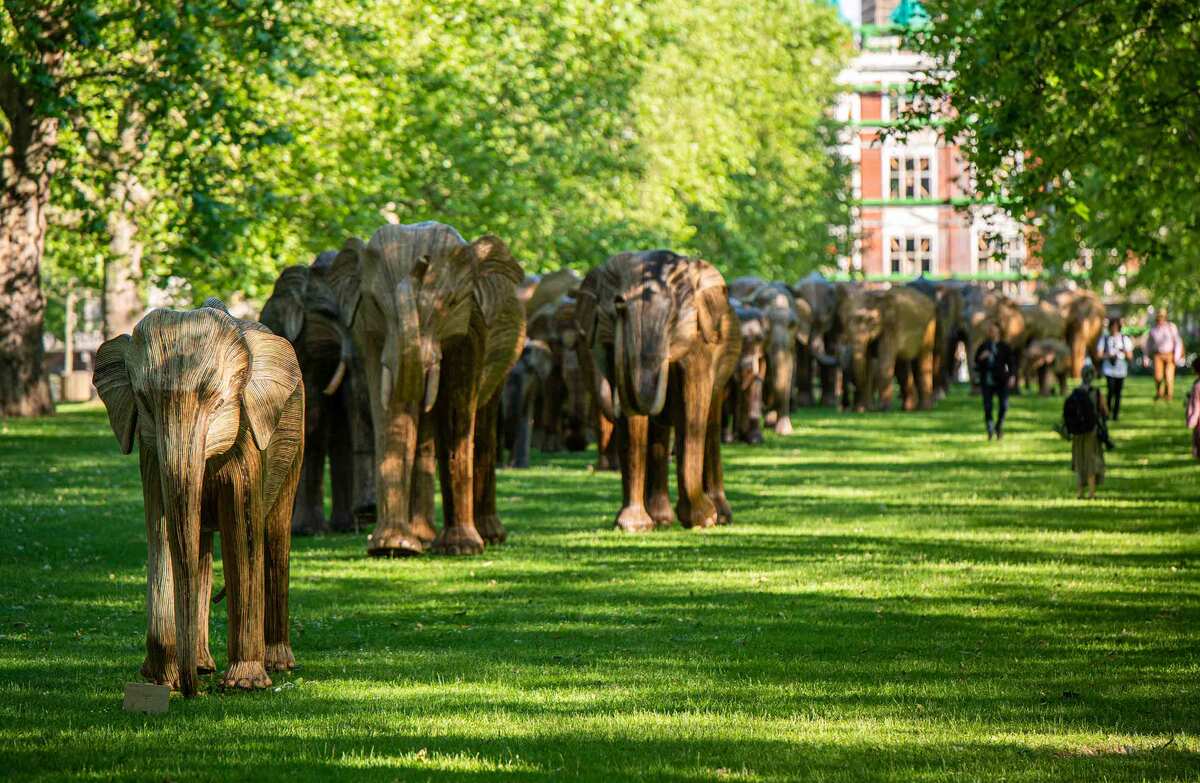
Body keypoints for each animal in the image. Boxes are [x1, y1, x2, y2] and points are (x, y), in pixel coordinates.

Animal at [92, 300, 303, 696]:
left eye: (218, 402)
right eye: (144, 402)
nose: (192, 692)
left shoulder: (247, 439)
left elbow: (242, 535)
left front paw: (244, 684)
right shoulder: (149, 449)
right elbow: (160, 532)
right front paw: (163, 679)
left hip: (293, 442)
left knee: (275, 535)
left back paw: (277, 664)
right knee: (199, 547)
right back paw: (203, 665)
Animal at [329, 222, 525, 557]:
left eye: (452, 302)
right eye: (376, 303)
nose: (421, 262)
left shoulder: (474, 324)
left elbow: (456, 415)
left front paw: (462, 549)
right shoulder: (369, 329)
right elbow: (391, 413)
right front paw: (392, 548)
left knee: (483, 427)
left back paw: (489, 537)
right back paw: (422, 539)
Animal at [576, 249, 740, 531]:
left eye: (674, 317)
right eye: (613, 311)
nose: (621, 302)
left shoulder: (699, 341)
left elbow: (692, 411)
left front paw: (701, 520)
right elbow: (632, 426)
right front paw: (632, 526)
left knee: (710, 421)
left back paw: (720, 516)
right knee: (659, 431)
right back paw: (662, 520)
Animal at [722, 303, 766, 444]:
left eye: (760, 338)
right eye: (736, 339)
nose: (737, 437)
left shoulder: (761, 355)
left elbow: (756, 383)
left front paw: (755, 440)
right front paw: (727, 440)